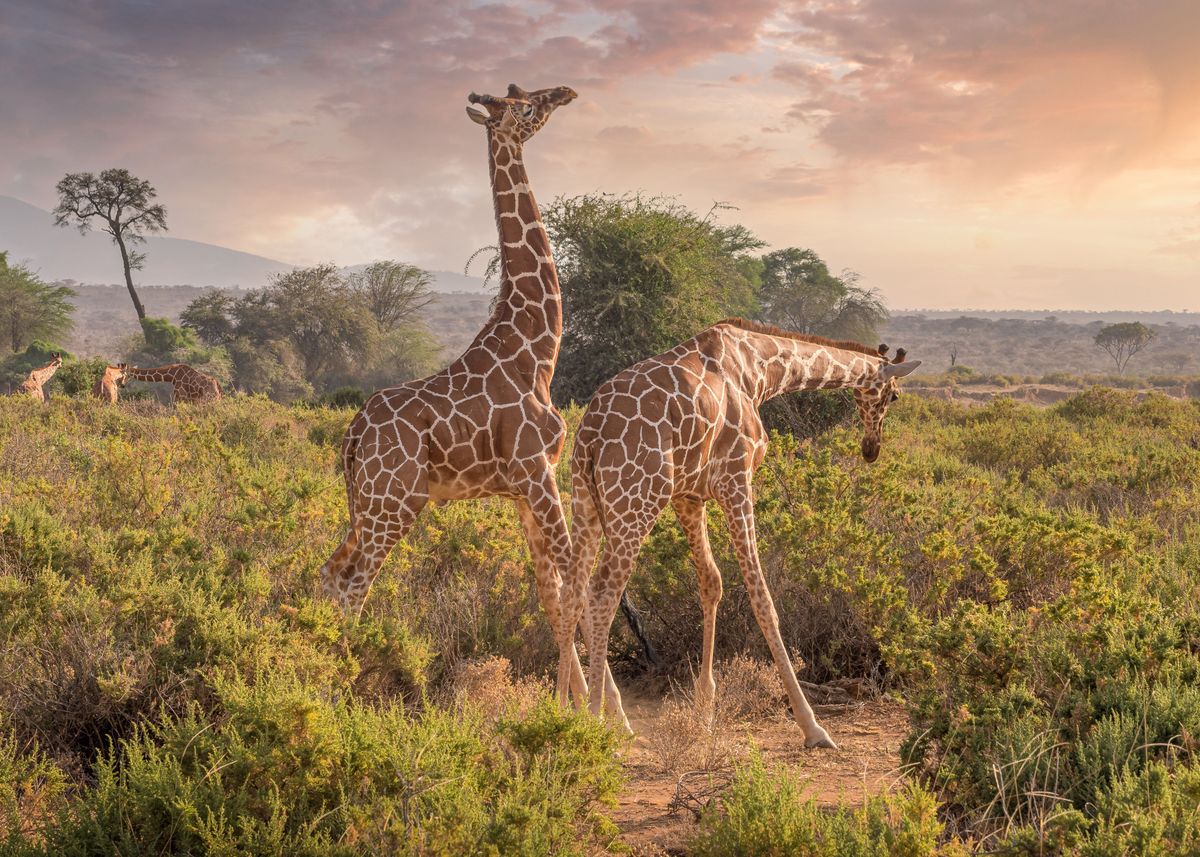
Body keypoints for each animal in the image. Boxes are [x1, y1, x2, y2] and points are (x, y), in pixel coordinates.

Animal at [320, 83, 613, 707]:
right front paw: (601, 713)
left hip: (367, 503)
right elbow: (575, 585)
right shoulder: (537, 472)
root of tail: (352, 436)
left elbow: (552, 595)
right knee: (355, 582)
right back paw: (335, 691)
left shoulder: (524, 488)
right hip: (396, 503)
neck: (535, 350)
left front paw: (573, 704)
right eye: (525, 105)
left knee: (332, 574)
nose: (566, 91)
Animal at [558, 318, 921, 749]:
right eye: (894, 395)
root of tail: (590, 435)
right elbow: (761, 595)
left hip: (586, 500)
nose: (871, 449)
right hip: (637, 499)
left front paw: (704, 709)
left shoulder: (689, 495)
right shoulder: (736, 477)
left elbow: (711, 582)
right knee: (602, 595)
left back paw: (559, 711)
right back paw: (599, 722)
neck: (760, 369)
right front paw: (812, 726)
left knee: (572, 592)